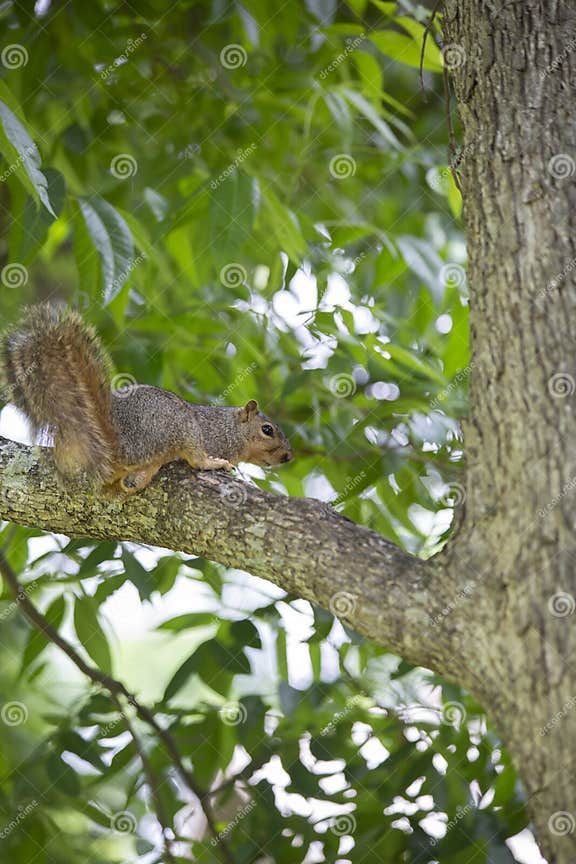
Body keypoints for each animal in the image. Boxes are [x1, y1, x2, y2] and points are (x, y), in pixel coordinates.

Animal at [0, 303, 292, 496]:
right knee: (193, 457)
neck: (235, 428)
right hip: (178, 426)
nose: (288, 456)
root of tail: (115, 442)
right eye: (267, 430)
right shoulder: (219, 440)